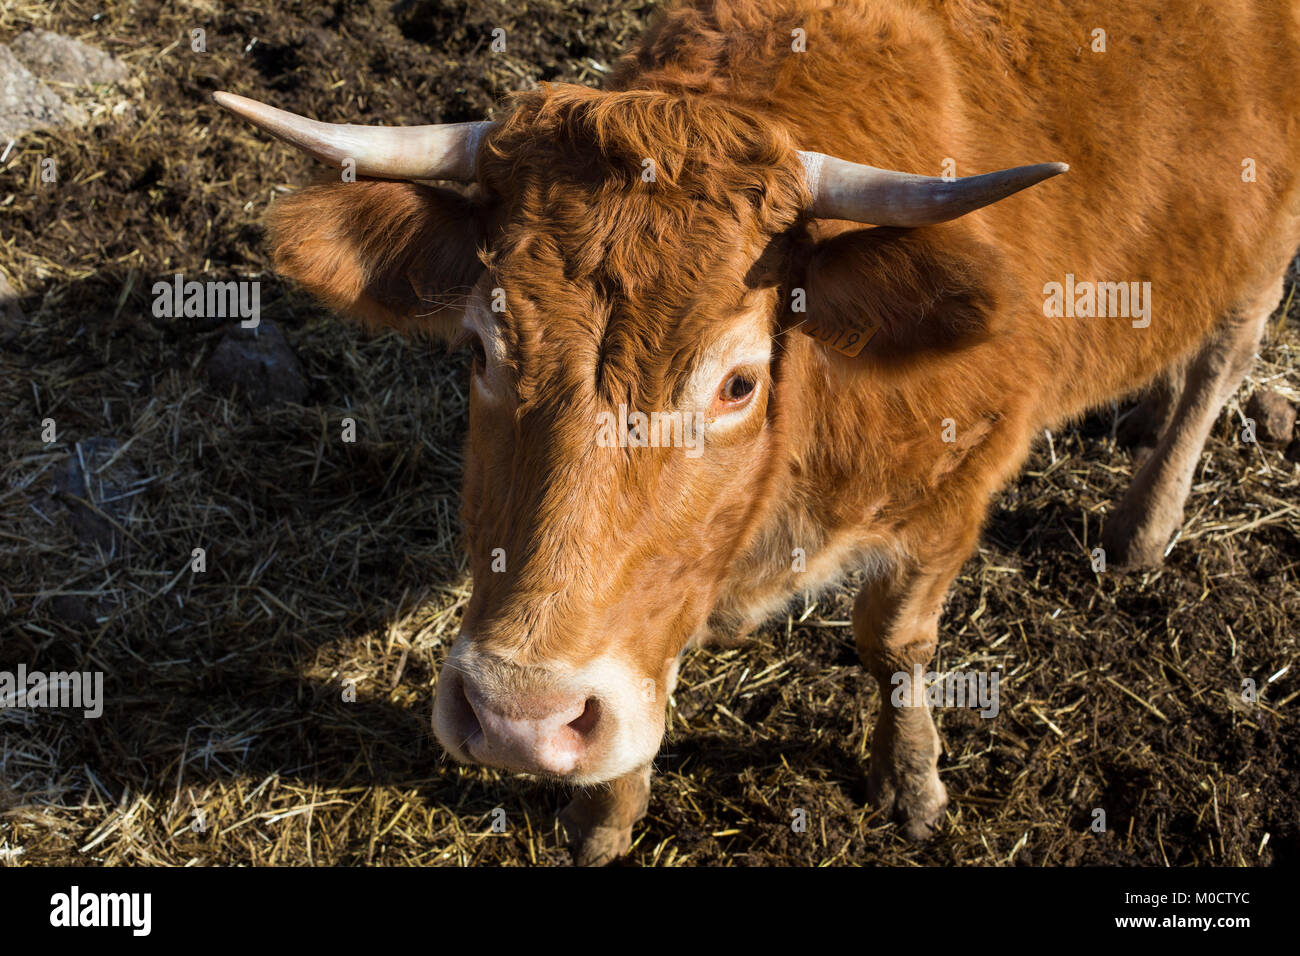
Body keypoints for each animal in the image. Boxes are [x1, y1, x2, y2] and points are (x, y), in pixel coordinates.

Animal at [216, 0, 1300, 865]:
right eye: (481, 348)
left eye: (739, 381)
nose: (519, 718)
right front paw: (603, 814)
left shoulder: (959, 483)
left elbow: (894, 640)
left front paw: (911, 783)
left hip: (1265, 237)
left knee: (1225, 354)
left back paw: (1144, 523)